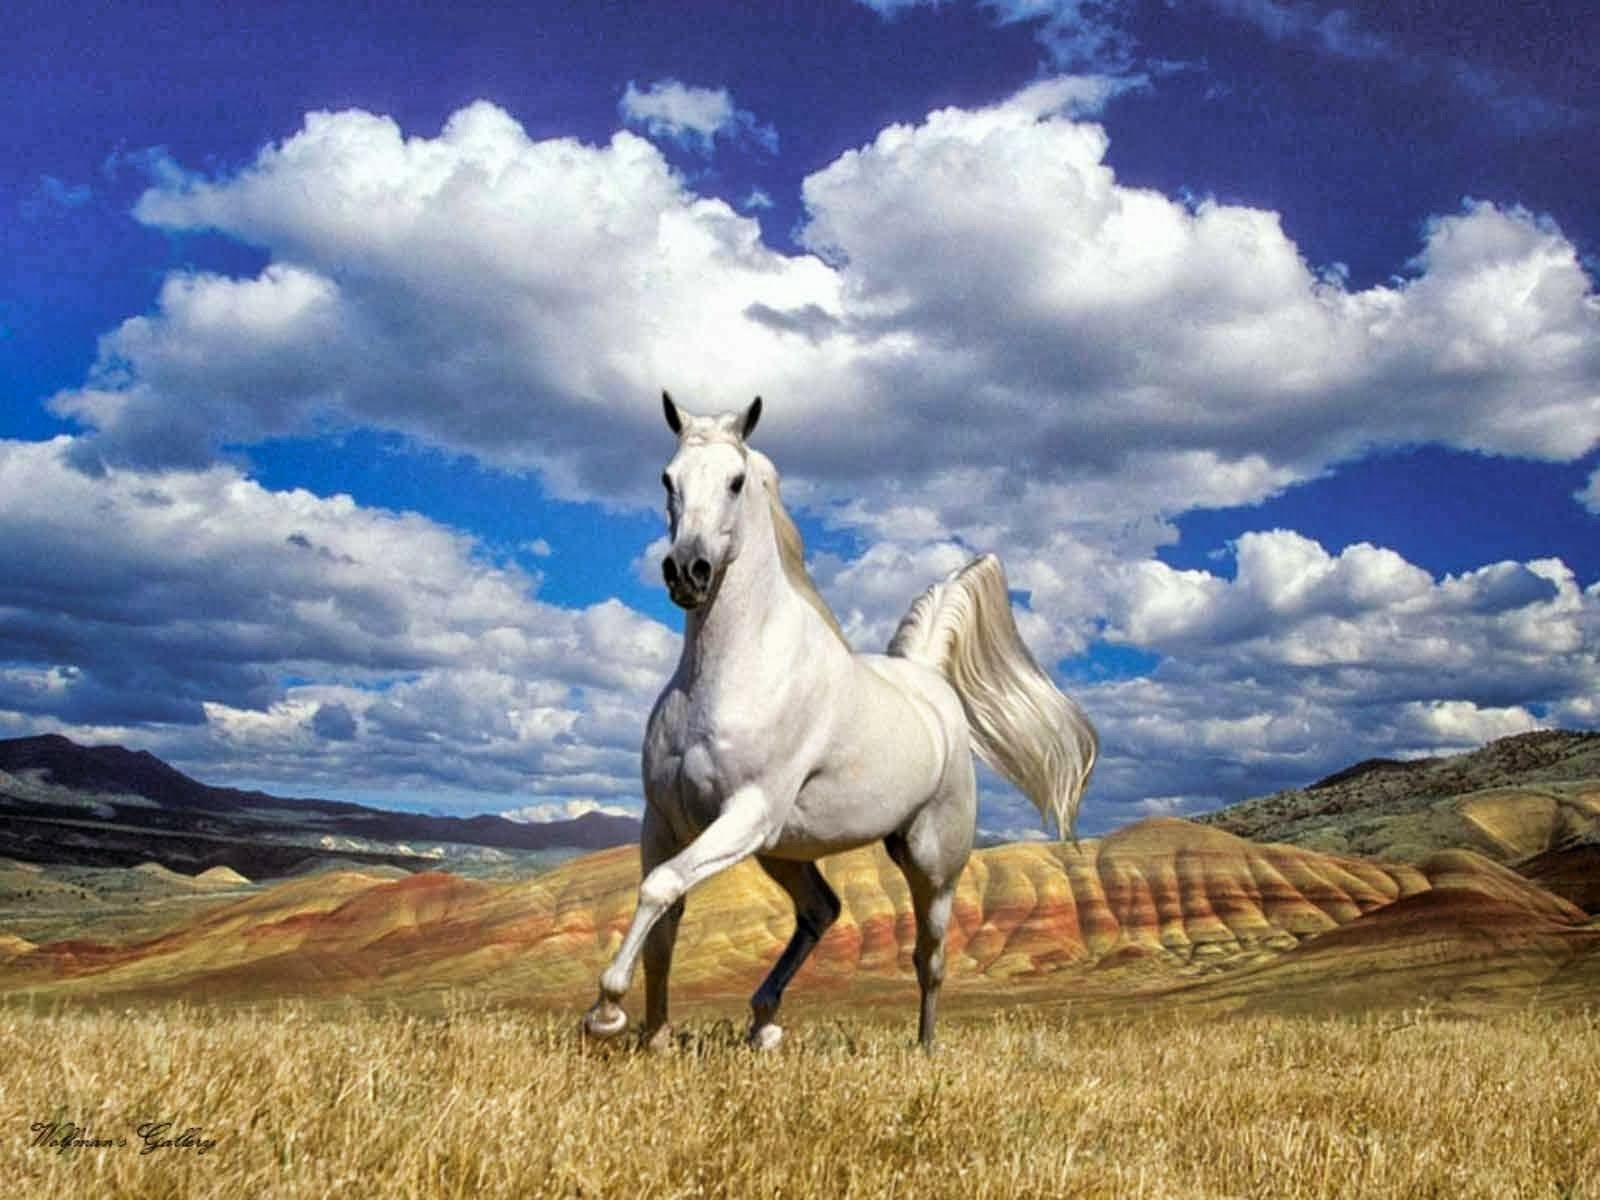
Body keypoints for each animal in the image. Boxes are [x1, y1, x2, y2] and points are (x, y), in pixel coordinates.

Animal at [582, 393, 1098, 1050]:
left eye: (736, 480)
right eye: (667, 478)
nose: (686, 571)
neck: (728, 673)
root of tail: (928, 680)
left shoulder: (746, 811)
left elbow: (660, 888)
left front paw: (606, 1012)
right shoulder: (667, 819)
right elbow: (664, 921)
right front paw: (654, 1039)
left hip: (930, 861)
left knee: (929, 958)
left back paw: (923, 1049)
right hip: (784, 850)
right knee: (821, 909)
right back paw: (764, 1023)